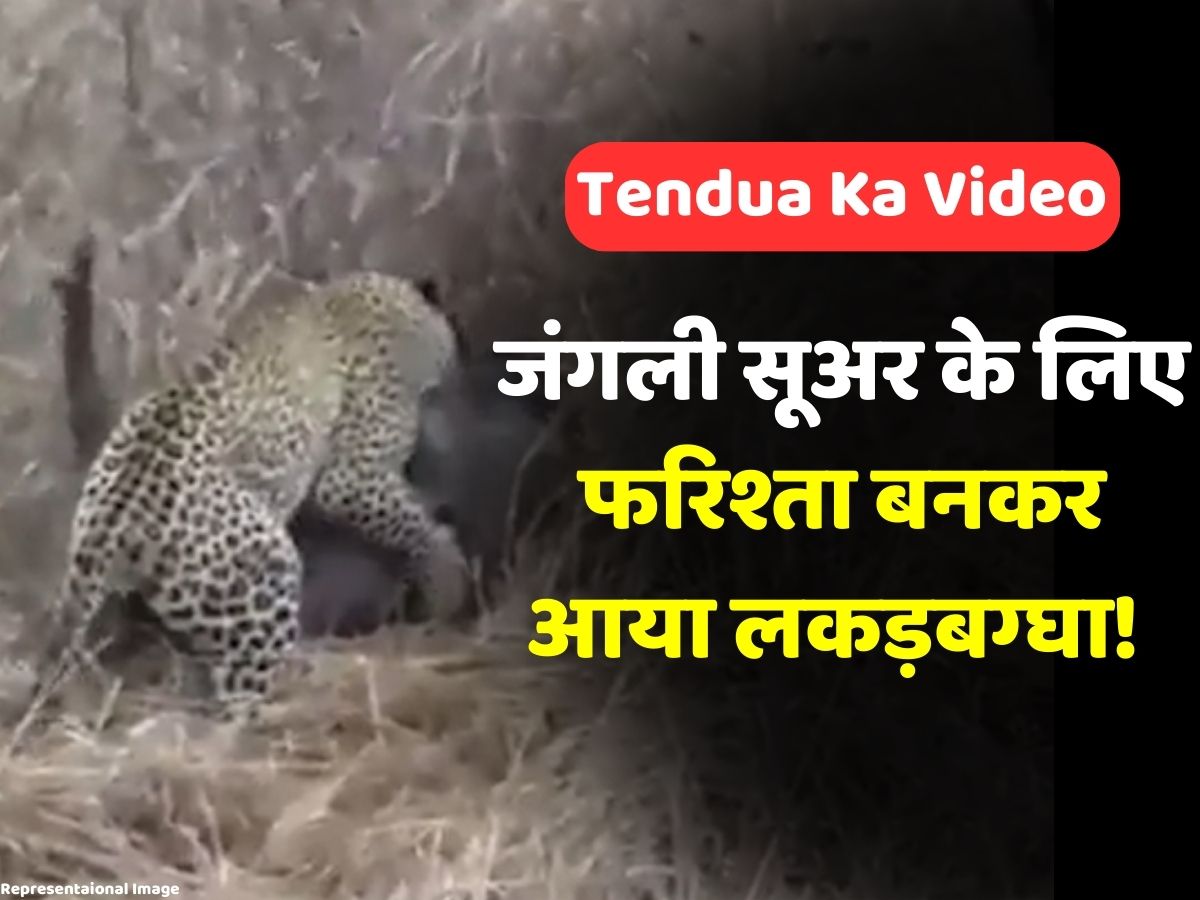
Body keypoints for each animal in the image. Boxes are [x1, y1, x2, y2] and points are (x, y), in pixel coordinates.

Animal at [30, 255, 468, 723]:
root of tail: (109, 520)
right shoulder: (351, 476)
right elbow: (413, 521)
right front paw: (446, 567)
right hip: (267, 575)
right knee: (237, 704)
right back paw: (291, 707)